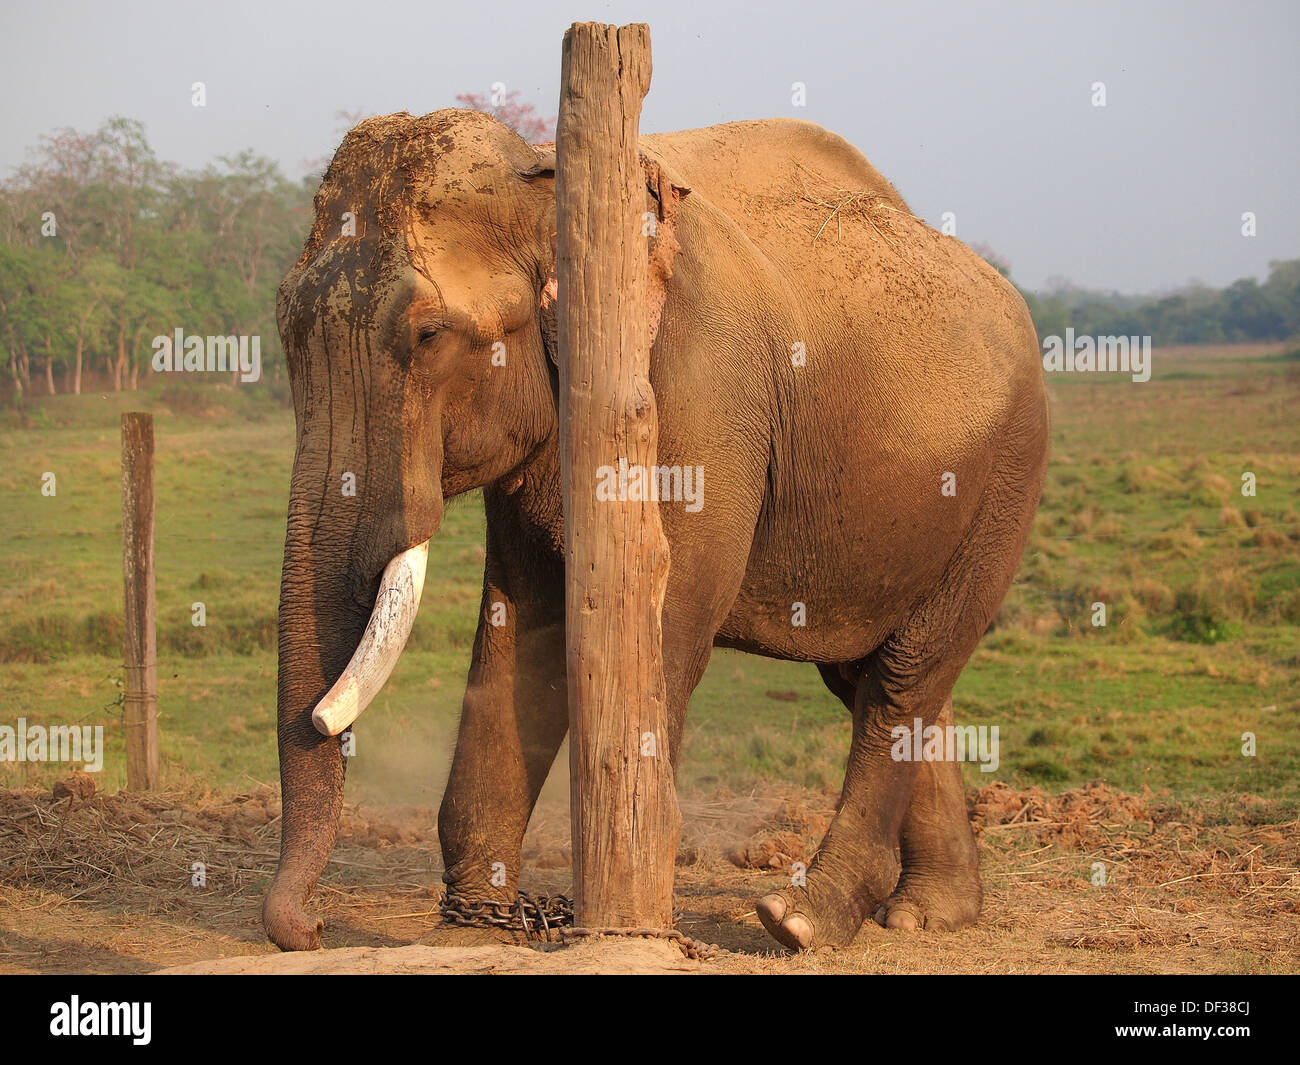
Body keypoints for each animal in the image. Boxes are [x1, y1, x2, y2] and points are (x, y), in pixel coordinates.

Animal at [263, 108, 1049, 953]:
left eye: (427, 335)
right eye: (281, 328)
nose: (312, 928)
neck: (549, 175)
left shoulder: (698, 391)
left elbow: (666, 613)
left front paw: (623, 920)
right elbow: (524, 628)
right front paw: (473, 926)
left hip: (1007, 479)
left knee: (905, 675)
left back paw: (802, 919)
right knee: (870, 673)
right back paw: (928, 912)